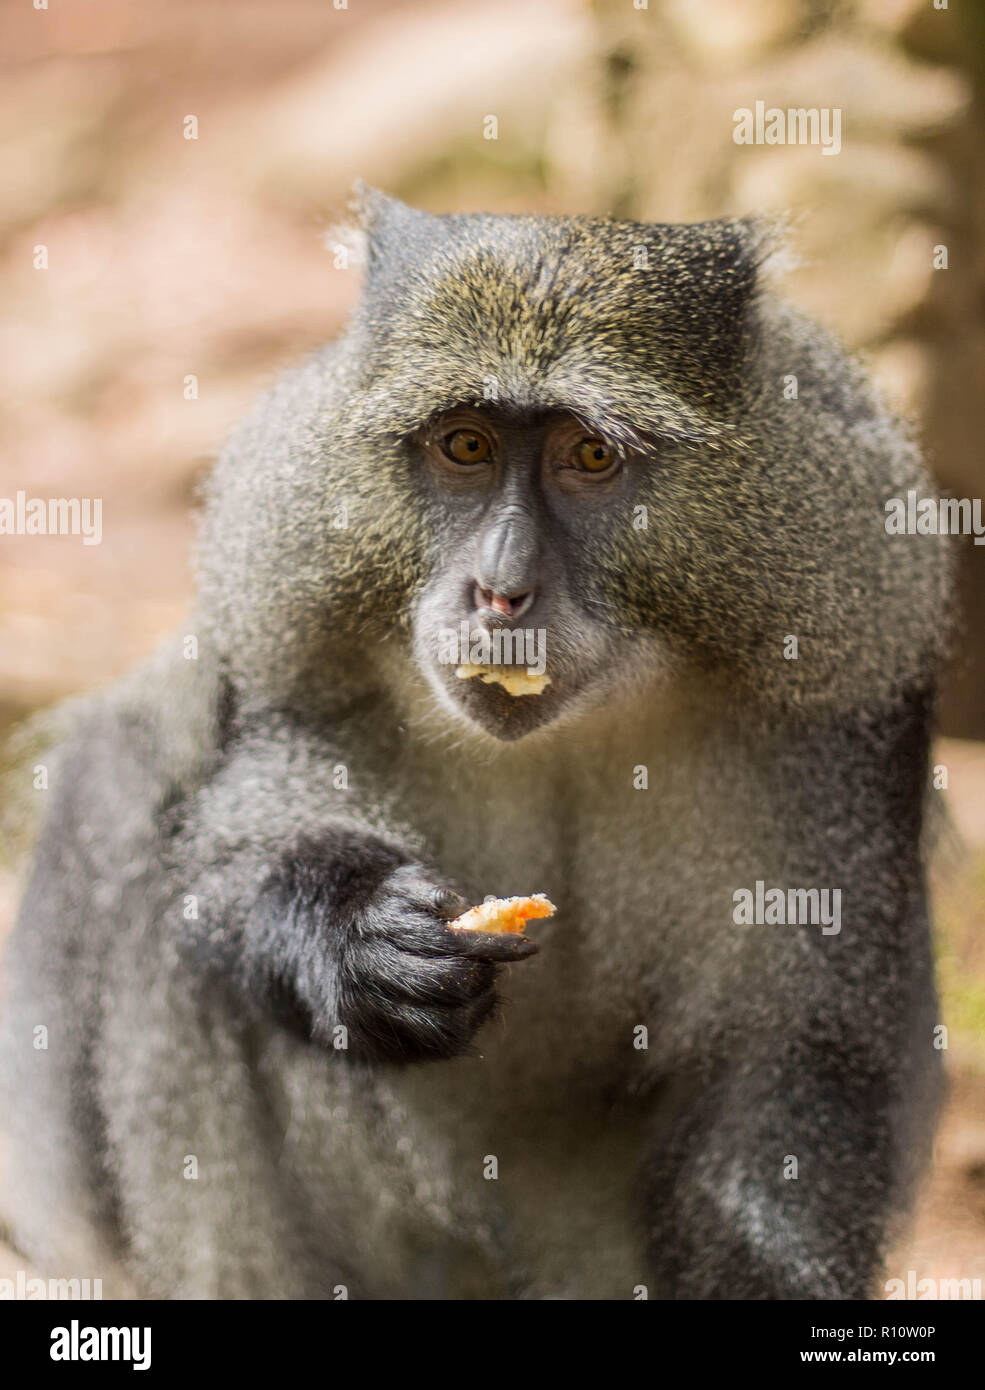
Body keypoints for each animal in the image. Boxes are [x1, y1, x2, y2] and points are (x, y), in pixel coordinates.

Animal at [0, 188, 950, 1299]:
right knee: (136, 804)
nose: (500, 590)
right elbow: (231, 854)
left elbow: (791, 1062)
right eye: (463, 446)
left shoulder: (844, 680)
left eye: (589, 456)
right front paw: (348, 934)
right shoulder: (292, 622)